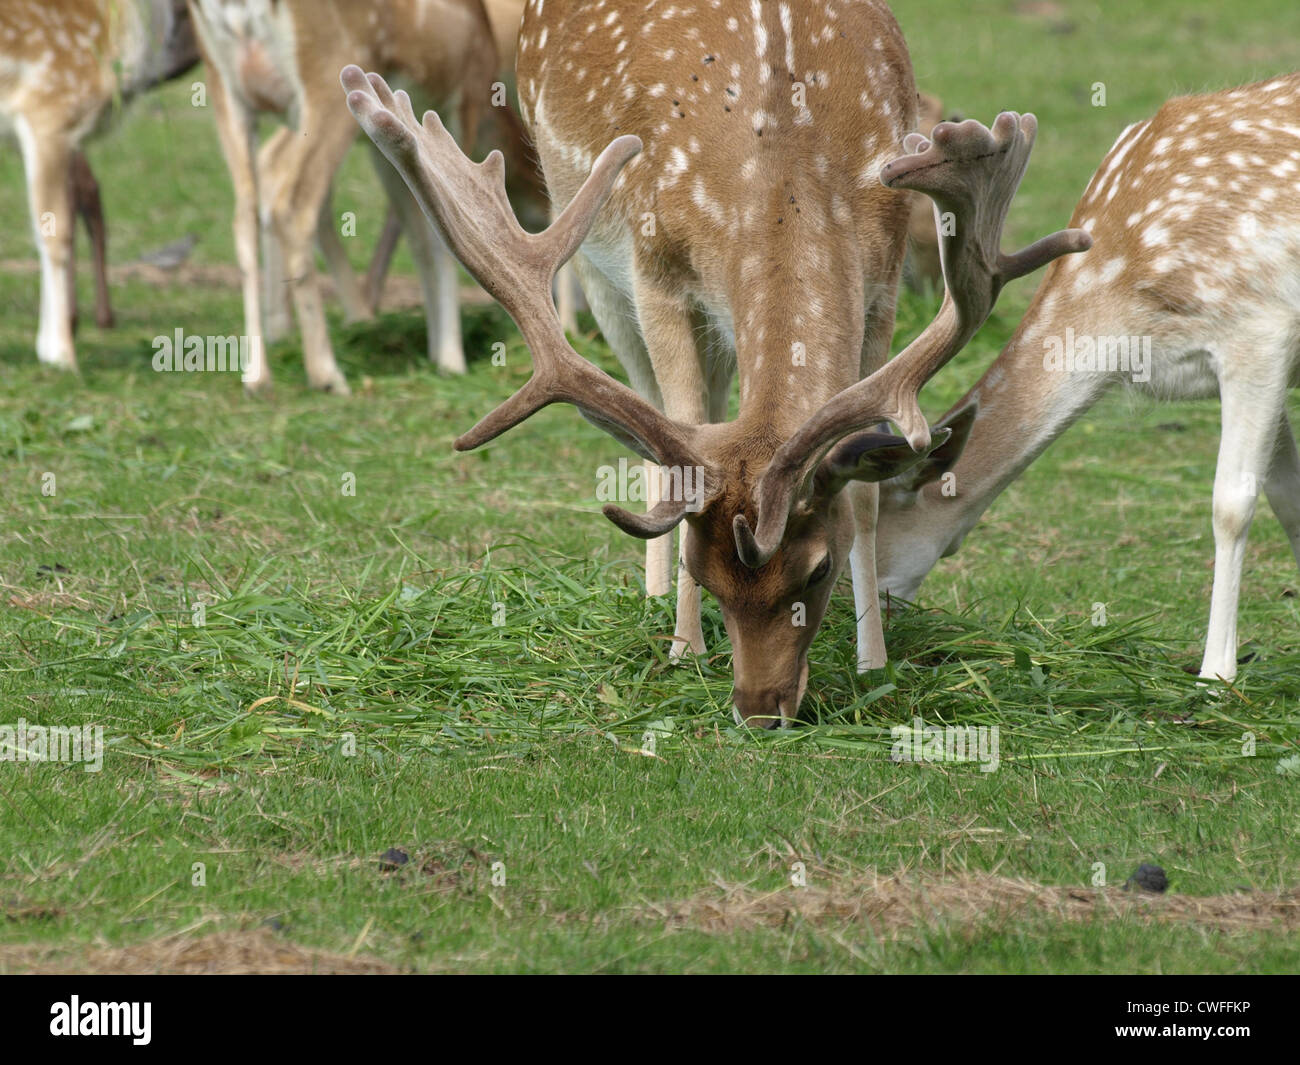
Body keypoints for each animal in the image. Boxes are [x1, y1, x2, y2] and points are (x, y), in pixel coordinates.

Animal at [188, 0, 498, 394]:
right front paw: (451, 360)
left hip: (226, 88)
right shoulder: (464, 101)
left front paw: (435, 350)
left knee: (245, 211)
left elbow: (419, 236)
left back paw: (257, 375)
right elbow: (445, 232)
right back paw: (326, 372)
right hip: (327, 77)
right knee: (294, 203)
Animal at [342, 5, 1088, 727]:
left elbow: (867, 493)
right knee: (654, 420)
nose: (758, 711)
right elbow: (679, 445)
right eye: (704, 572)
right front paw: (683, 646)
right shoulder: (656, 273)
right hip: (596, 268)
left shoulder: (881, 283)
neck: (787, 153)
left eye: (817, 571)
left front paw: (873, 663)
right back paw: (650, 601)